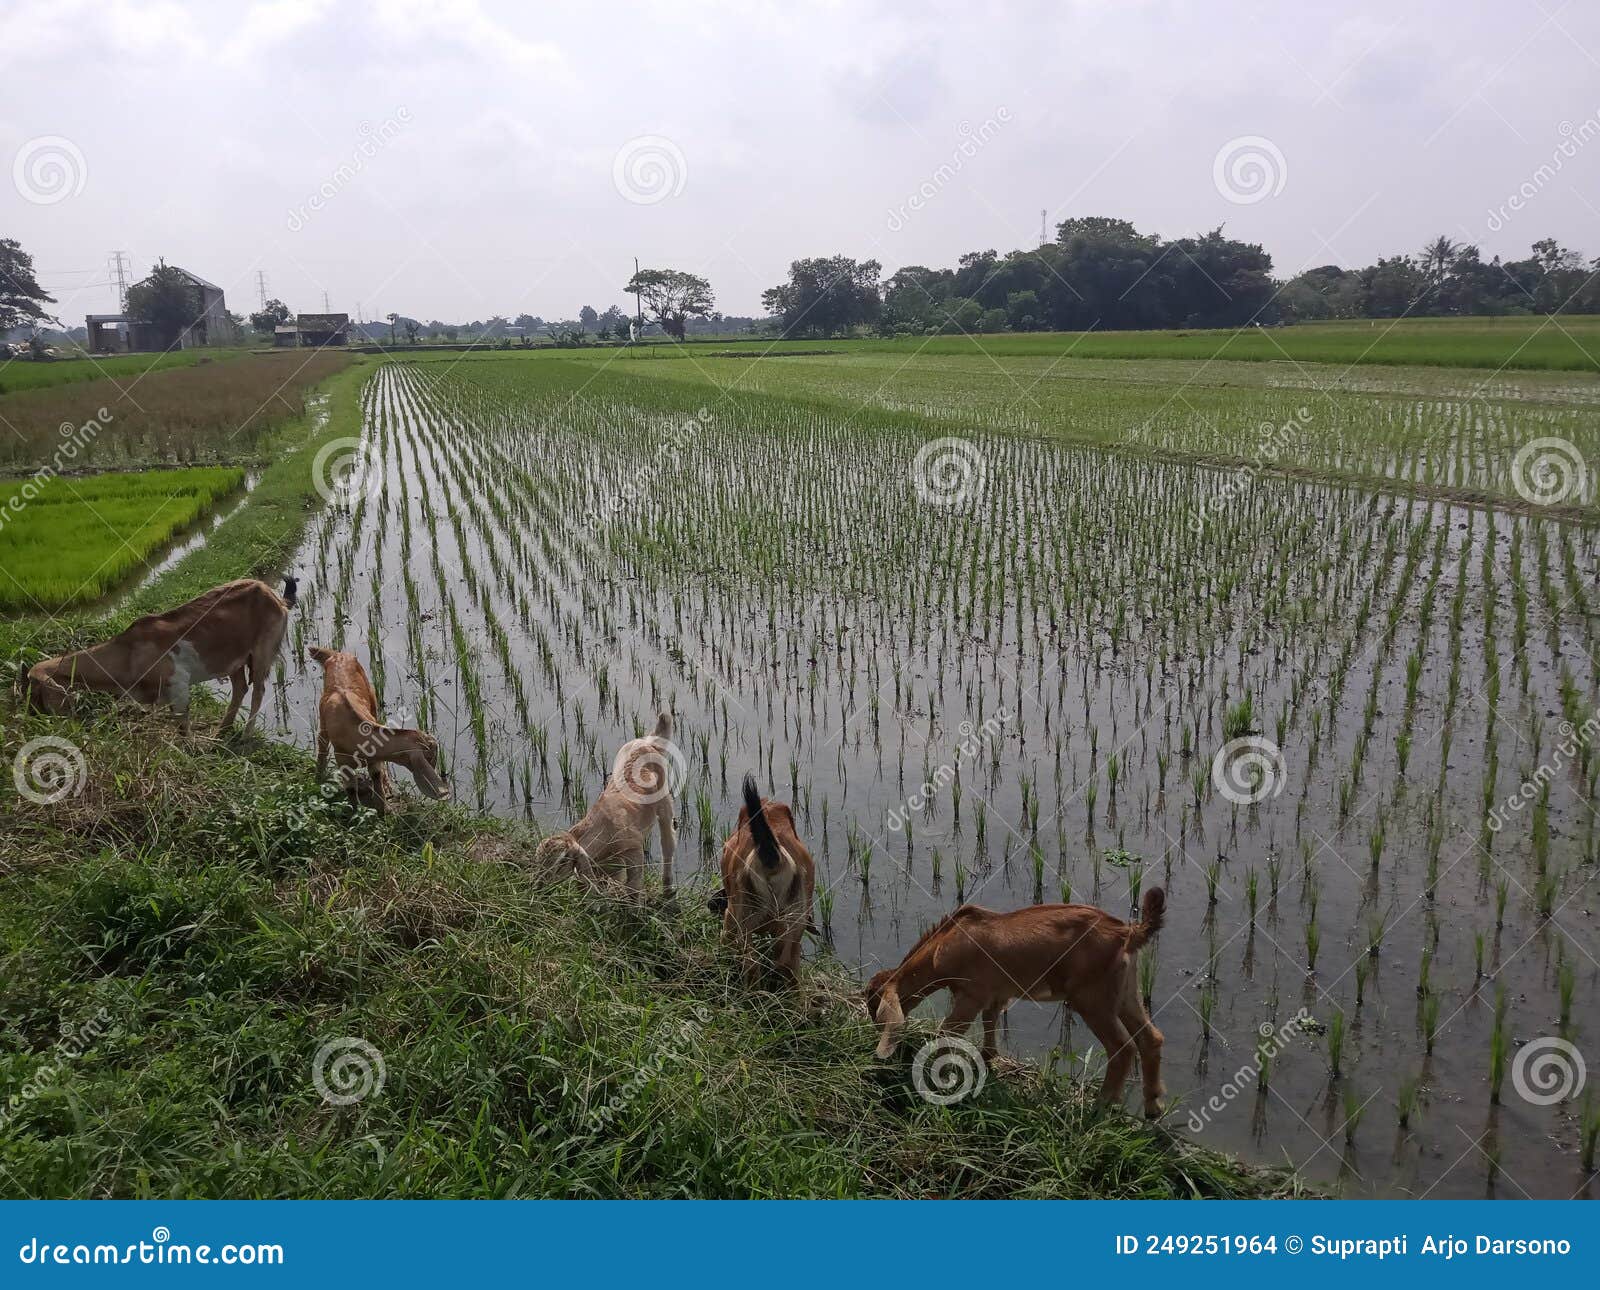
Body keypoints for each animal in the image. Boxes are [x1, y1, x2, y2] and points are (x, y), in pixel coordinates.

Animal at [866, 888, 1168, 1117]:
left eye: (873, 1004)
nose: (870, 1029)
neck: (942, 948)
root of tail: (1127, 933)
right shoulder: (997, 995)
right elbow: (990, 1024)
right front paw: (988, 1060)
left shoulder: (971, 995)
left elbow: (947, 1032)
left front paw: (940, 1075)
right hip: (1126, 992)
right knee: (1151, 1038)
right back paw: (1152, 1107)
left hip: (1093, 999)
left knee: (1123, 1048)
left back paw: (1101, 1106)